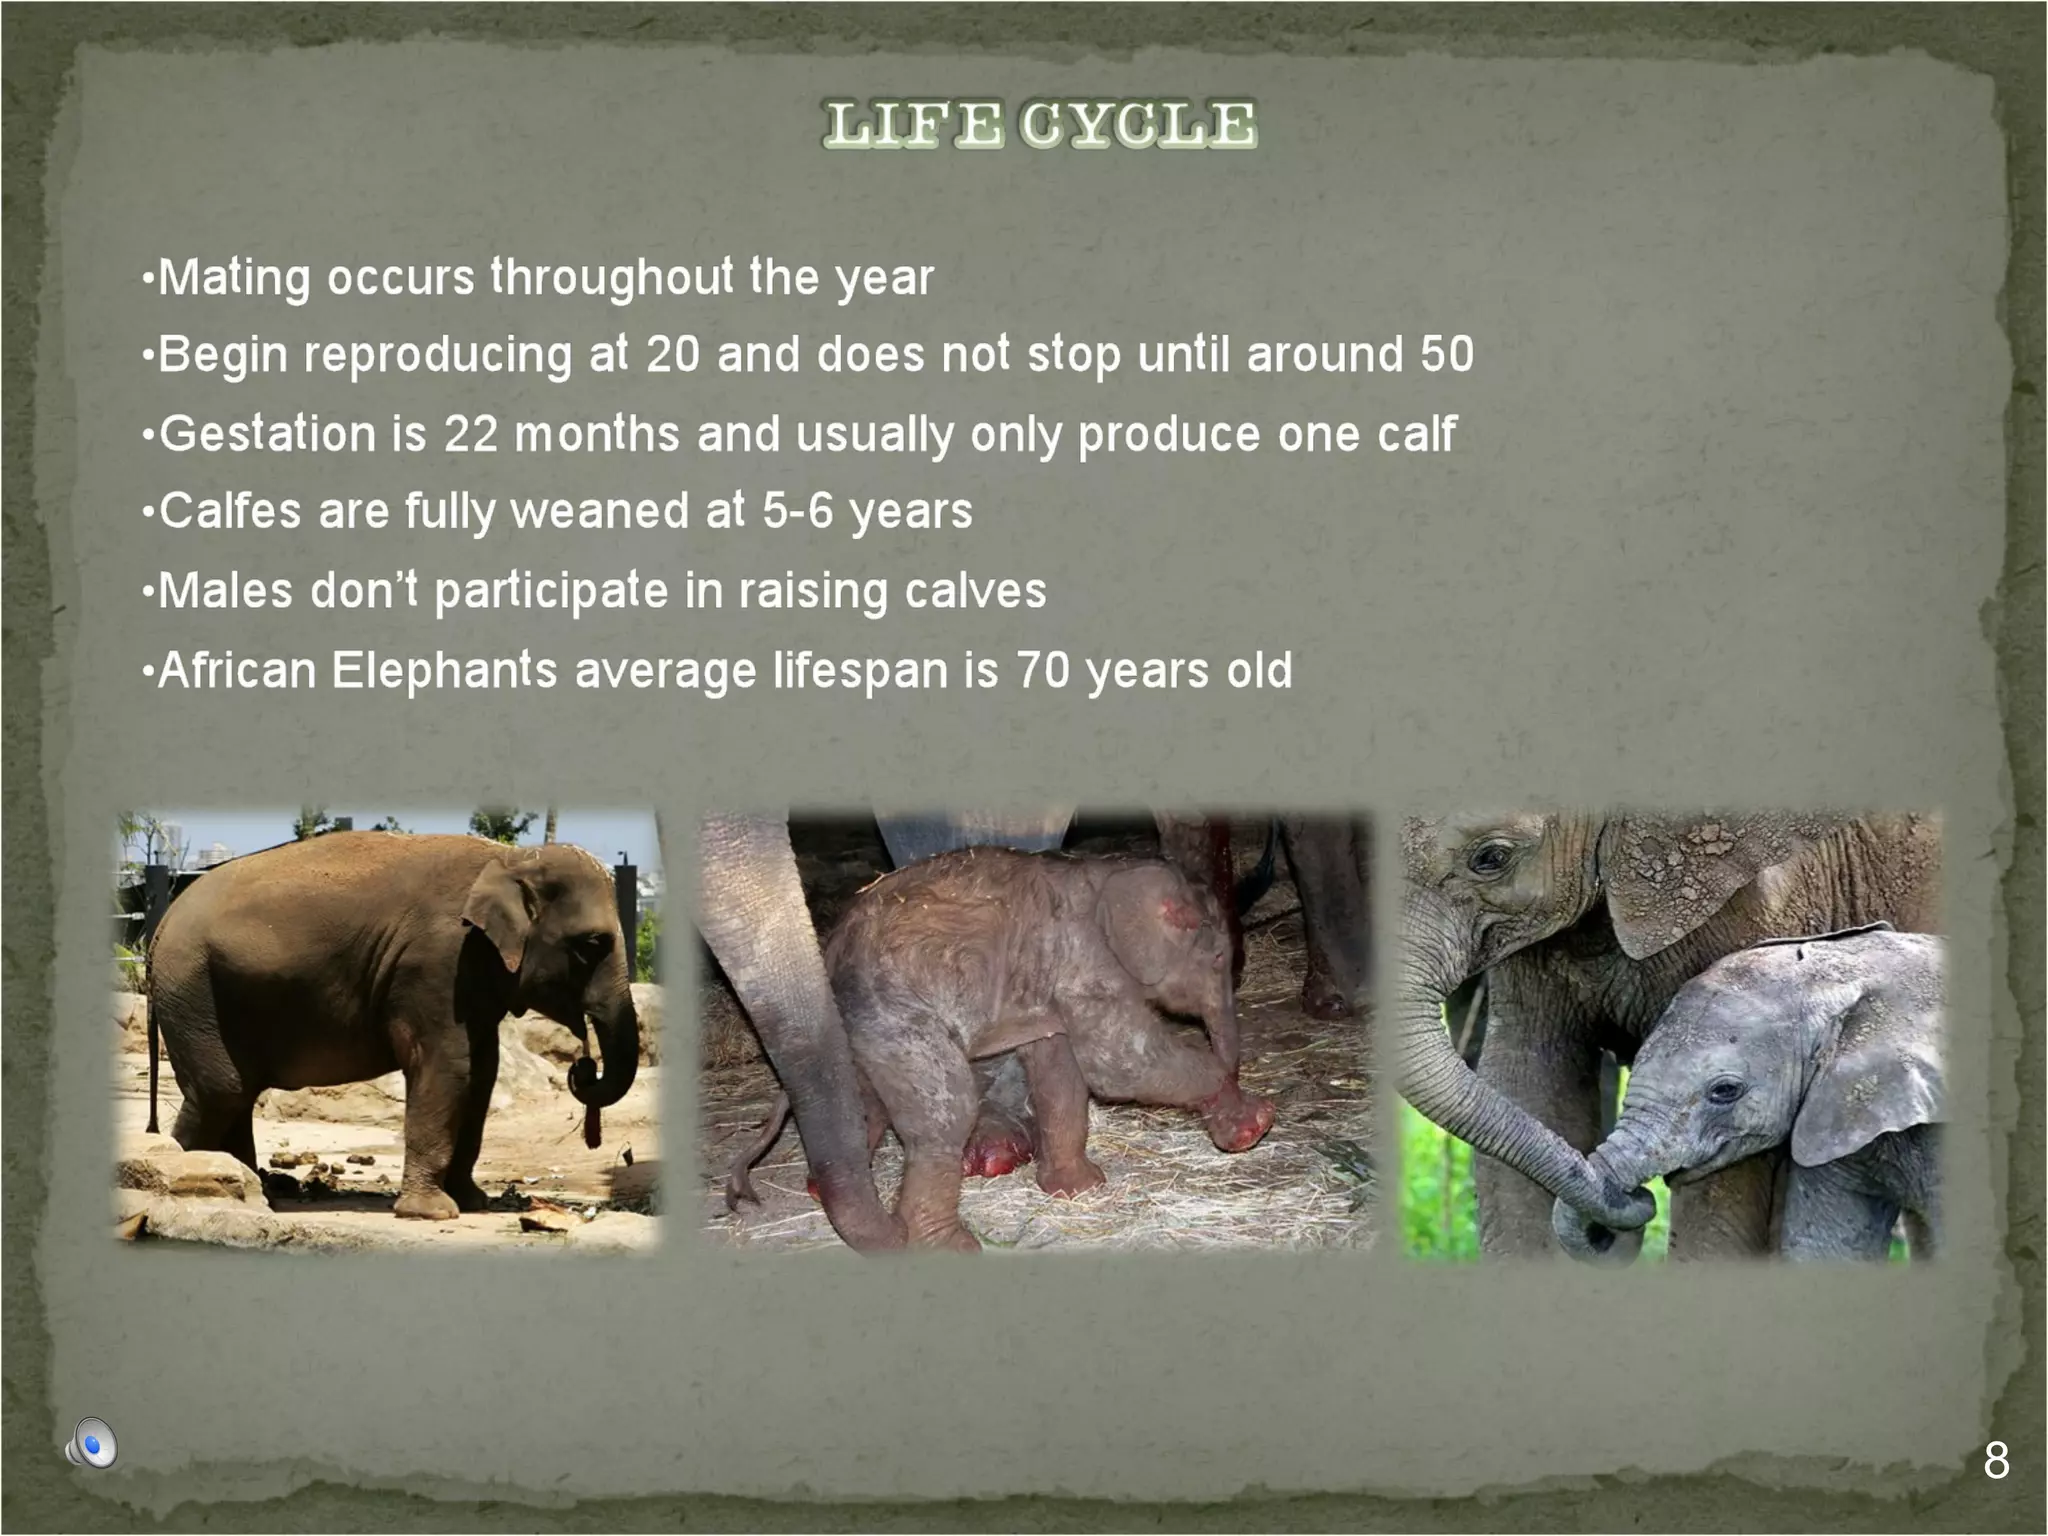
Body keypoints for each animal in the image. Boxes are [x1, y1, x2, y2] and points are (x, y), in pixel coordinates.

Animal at [145, 831, 640, 1220]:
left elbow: (483, 1073)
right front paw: (431, 1212)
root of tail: (161, 925)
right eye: (591, 946)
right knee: (222, 1089)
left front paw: (473, 1202)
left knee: (236, 1091)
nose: (583, 1067)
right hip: (190, 987)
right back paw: (189, 1176)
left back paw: (255, 1192)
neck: (511, 857)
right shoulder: (436, 962)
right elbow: (448, 1067)